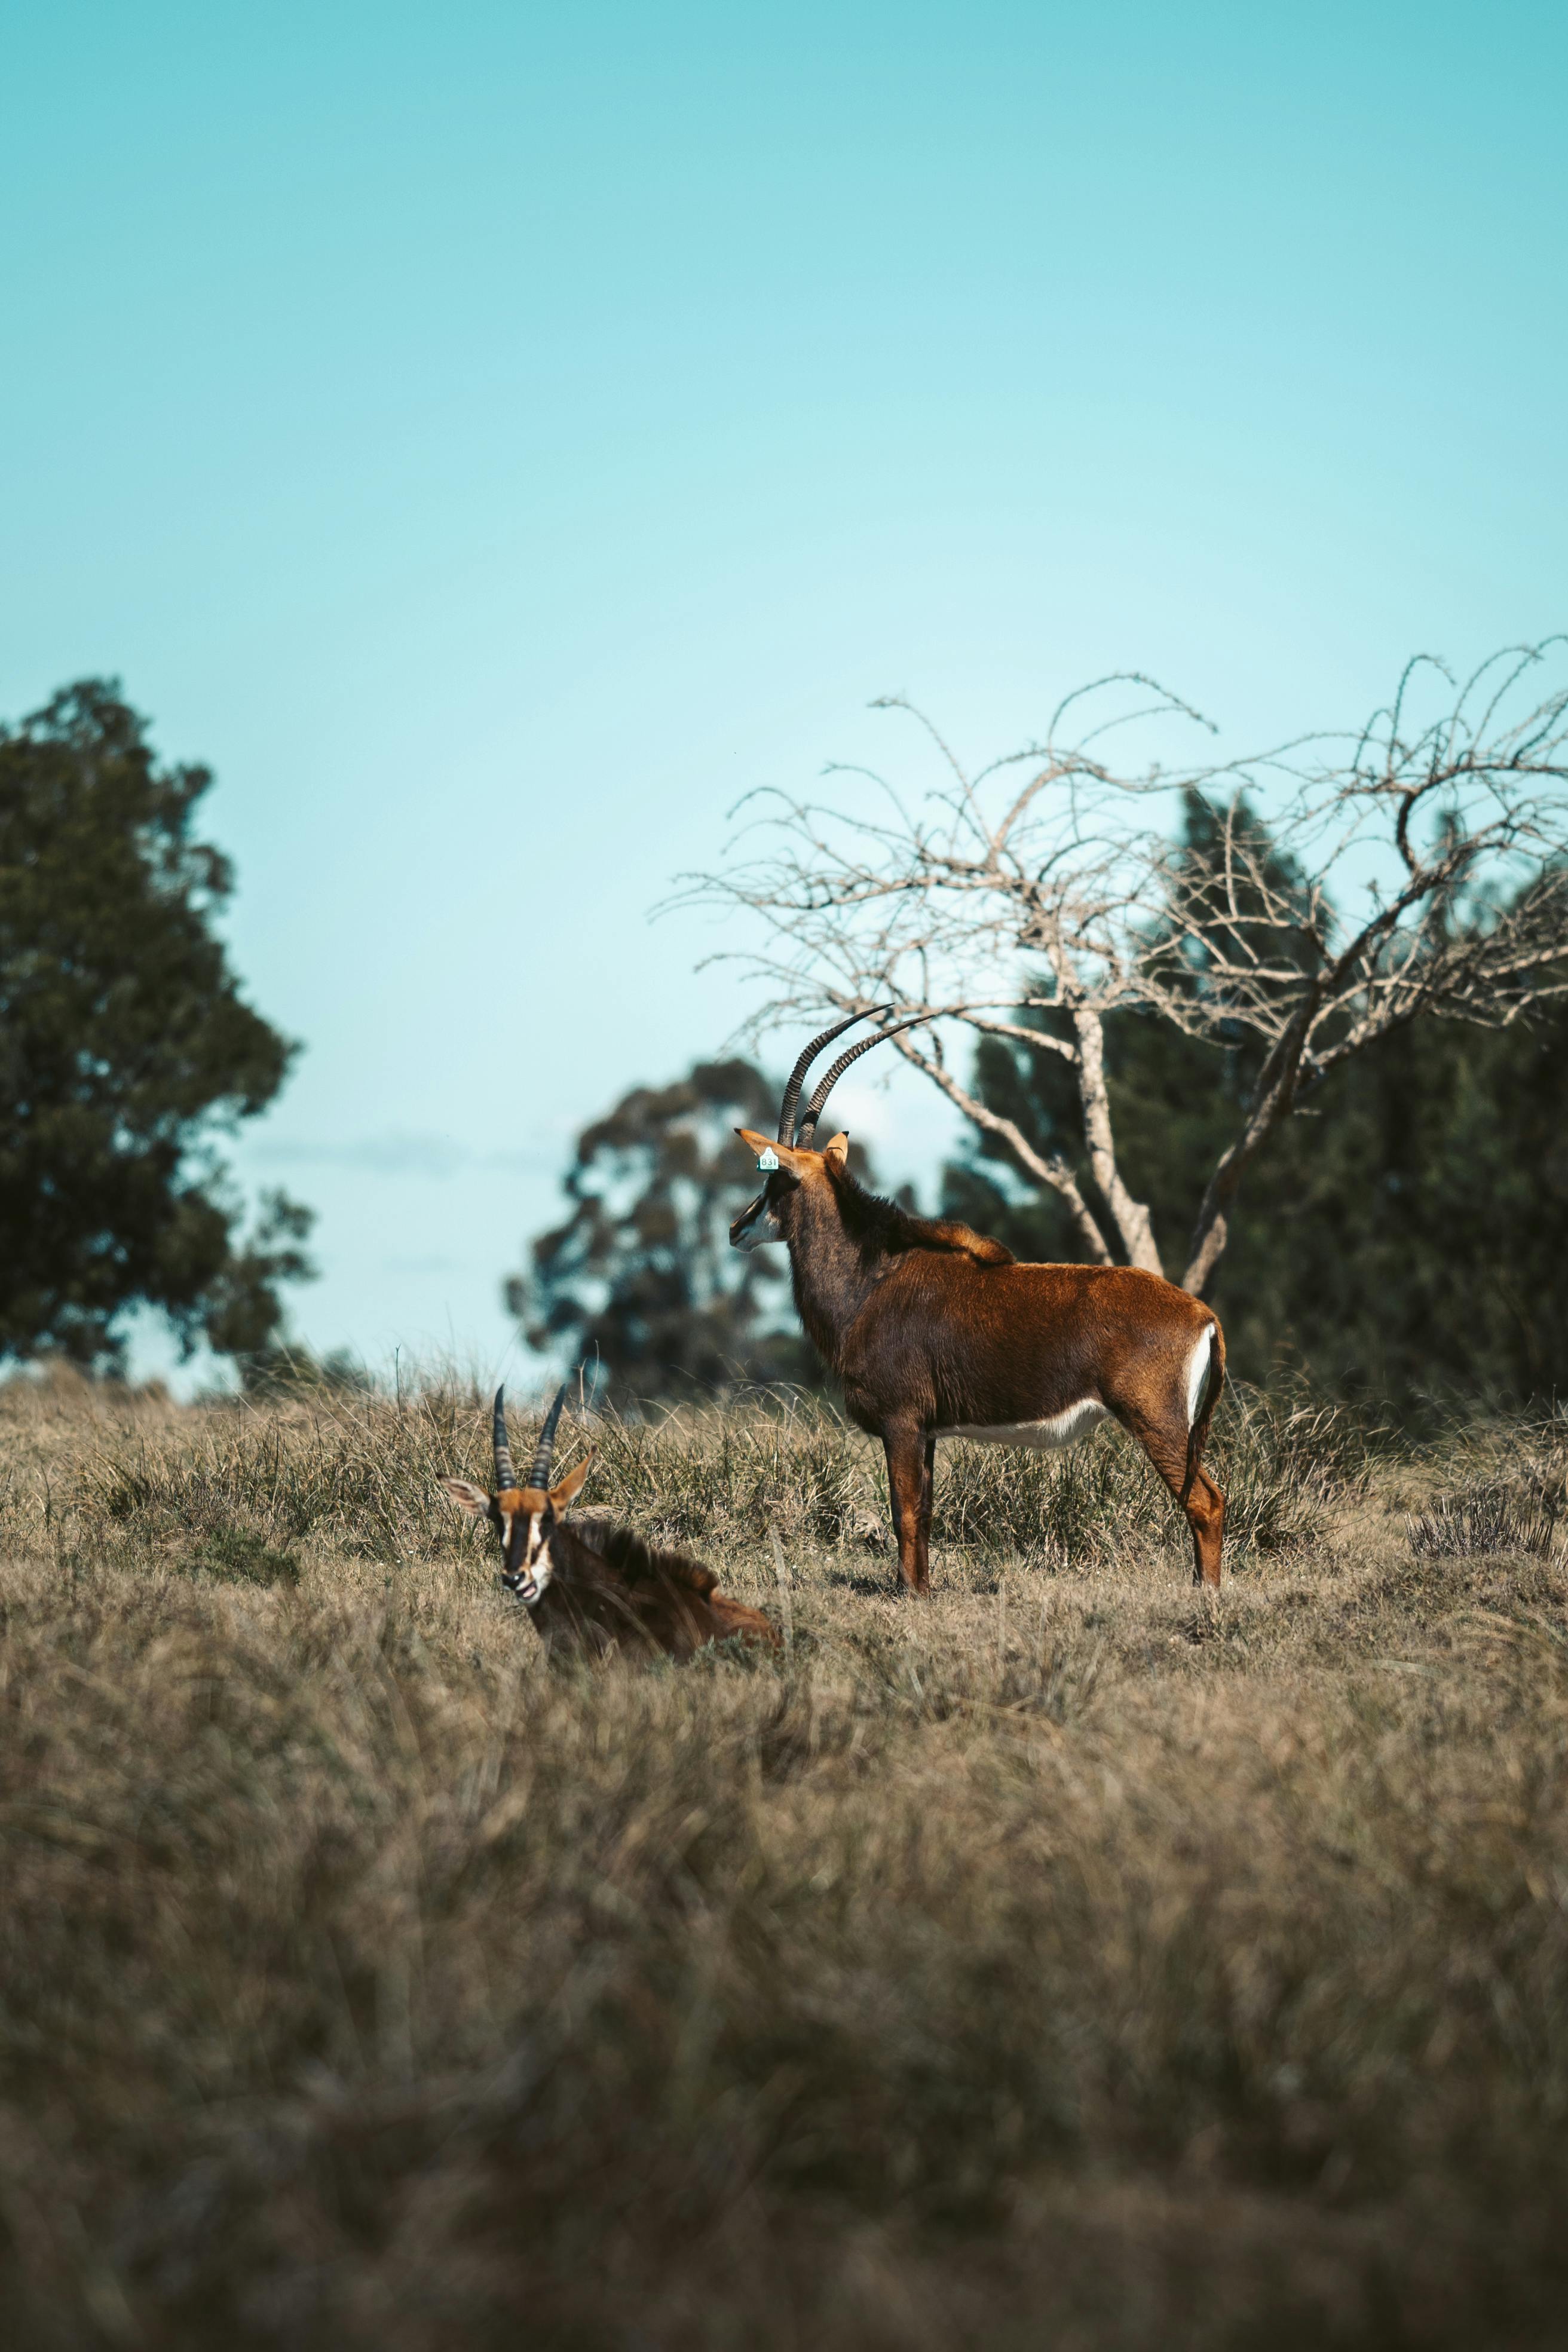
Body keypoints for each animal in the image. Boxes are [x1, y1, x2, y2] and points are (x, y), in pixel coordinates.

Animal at [731, 1014, 1228, 1591]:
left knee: (1205, 1502)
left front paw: (909, 1595)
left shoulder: (901, 1421)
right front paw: (922, 1588)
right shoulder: (925, 1431)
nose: (736, 1229)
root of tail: (1203, 1315)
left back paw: (1206, 1594)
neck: (872, 1278)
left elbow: (903, 1511)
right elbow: (924, 1513)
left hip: (1157, 1420)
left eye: (775, 1179)